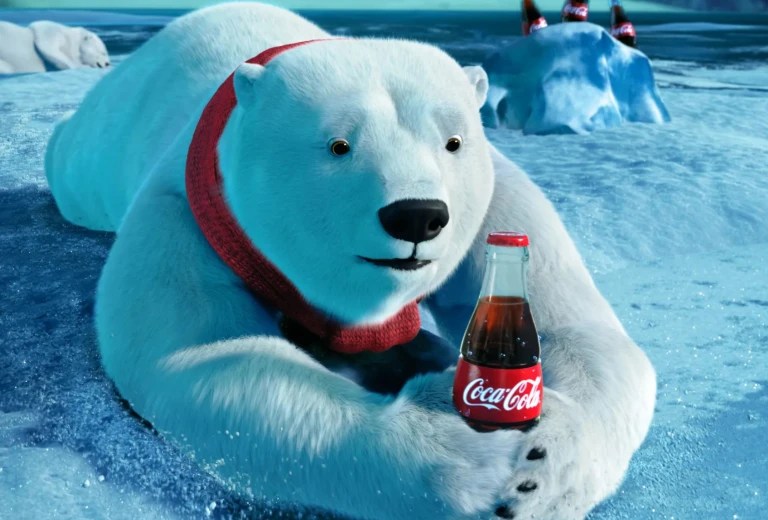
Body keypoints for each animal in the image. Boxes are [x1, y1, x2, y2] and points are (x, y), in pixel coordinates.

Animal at [44, 3, 656, 519]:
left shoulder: (494, 206)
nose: (417, 216)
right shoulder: (186, 221)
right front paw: (476, 459)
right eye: (338, 145)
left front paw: (547, 466)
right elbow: (205, 361)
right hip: (97, 155)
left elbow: (576, 331)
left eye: (454, 142)